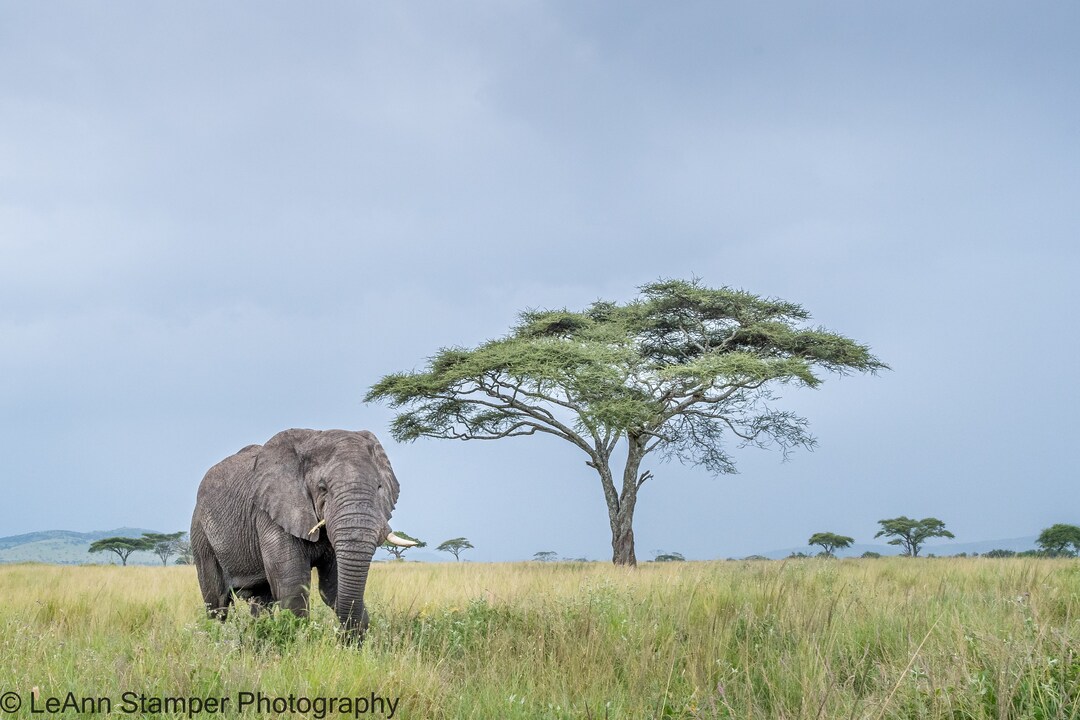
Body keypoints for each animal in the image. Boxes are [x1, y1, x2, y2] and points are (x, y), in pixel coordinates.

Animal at [190, 428, 416, 640]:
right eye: (323, 488)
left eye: (379, 487)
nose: (344, 640)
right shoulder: (271, 514)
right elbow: (293, 588)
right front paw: (301, 644)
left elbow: (333, 586)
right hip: (200, 533)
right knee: (217, 602)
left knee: (261, 600)